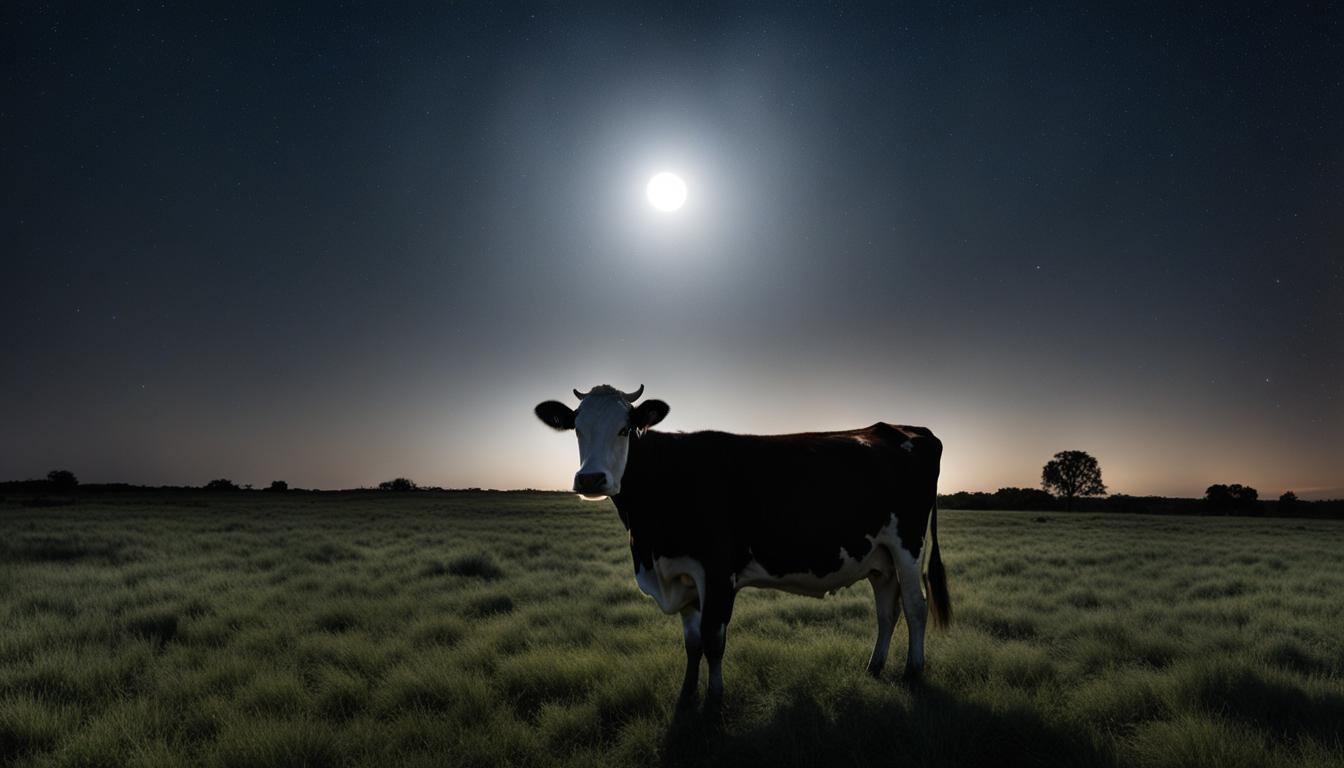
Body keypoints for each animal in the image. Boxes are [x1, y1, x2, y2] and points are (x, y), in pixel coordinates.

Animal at [533, 384, 950, 709]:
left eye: (625, 429)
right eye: (577, 429)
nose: (590, 479)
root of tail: (902, 428)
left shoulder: (717, 571)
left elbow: (714, 640)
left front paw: (713, 701)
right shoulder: (680, 573)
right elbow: (692, 642)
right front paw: (686, 697)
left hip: (908, 544)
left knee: (915, 606)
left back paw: (913, 670)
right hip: (880, 555)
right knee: (886, 610)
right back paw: (875, 666)